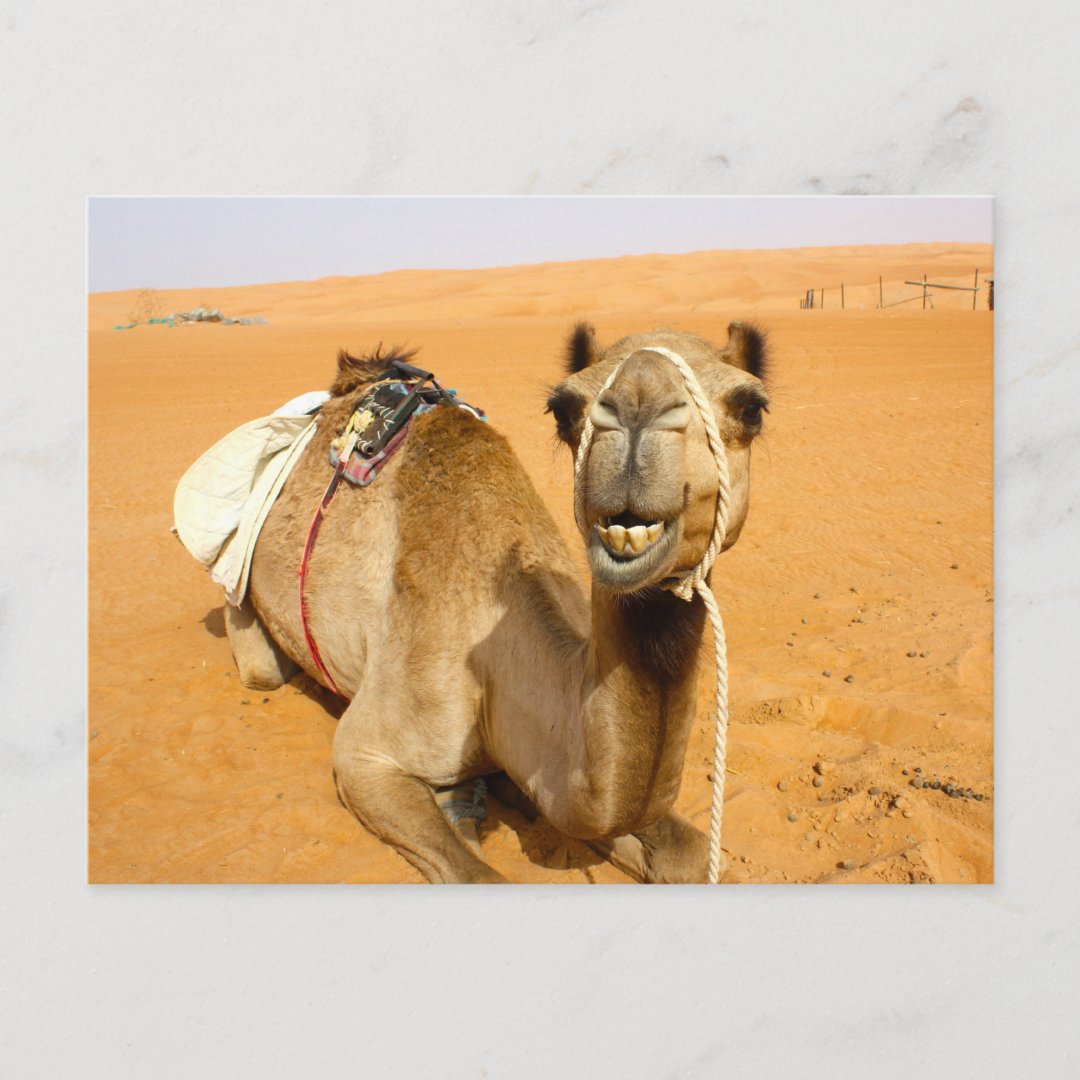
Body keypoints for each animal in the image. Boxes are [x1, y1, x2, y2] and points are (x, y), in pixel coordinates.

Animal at [224, 322, 769, 883]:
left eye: (752, 407)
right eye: (563, 409)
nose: (638, 405)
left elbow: (691, 854)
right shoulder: (365, 756)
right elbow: (476, 872)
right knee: (259, 660)